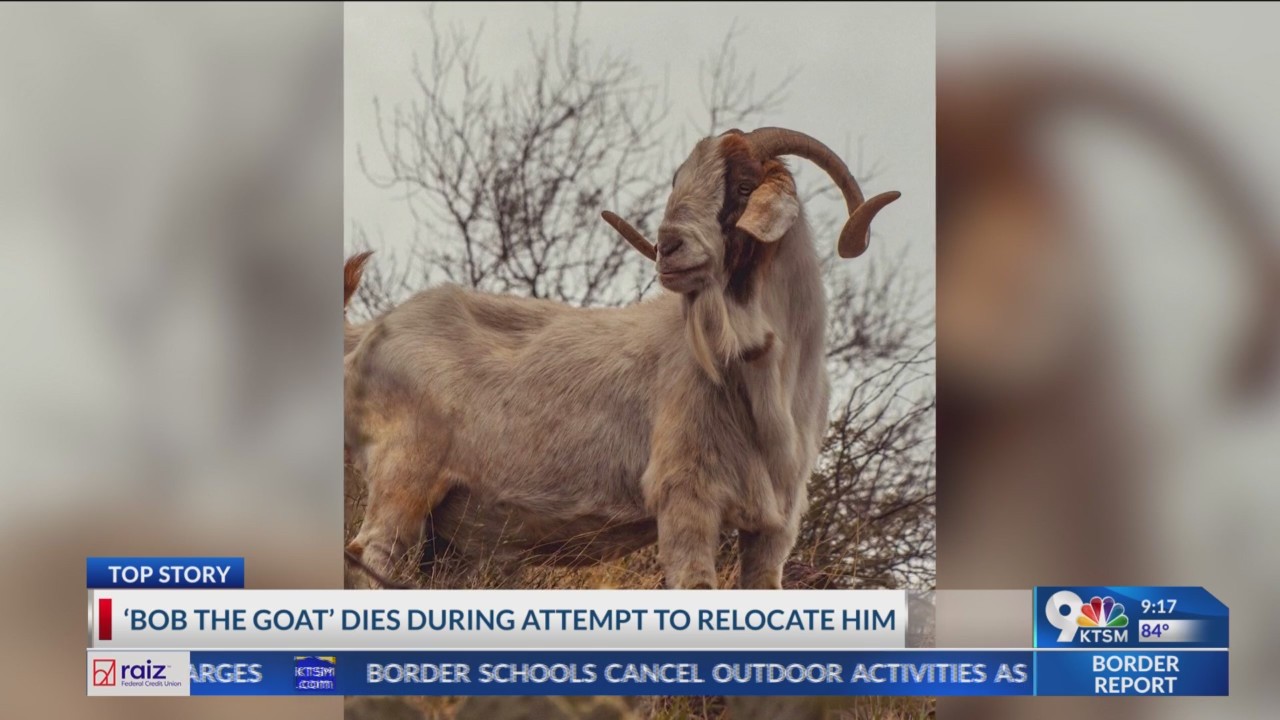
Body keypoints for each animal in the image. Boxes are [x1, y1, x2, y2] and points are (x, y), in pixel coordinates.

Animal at [343, 127, 899, 588]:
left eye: (743, 187)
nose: (669, 247)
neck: (766, 378)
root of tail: (372, 332)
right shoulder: (686, 500)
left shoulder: (775, 526)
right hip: (403, 478)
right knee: (370, 556)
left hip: (456, 534)